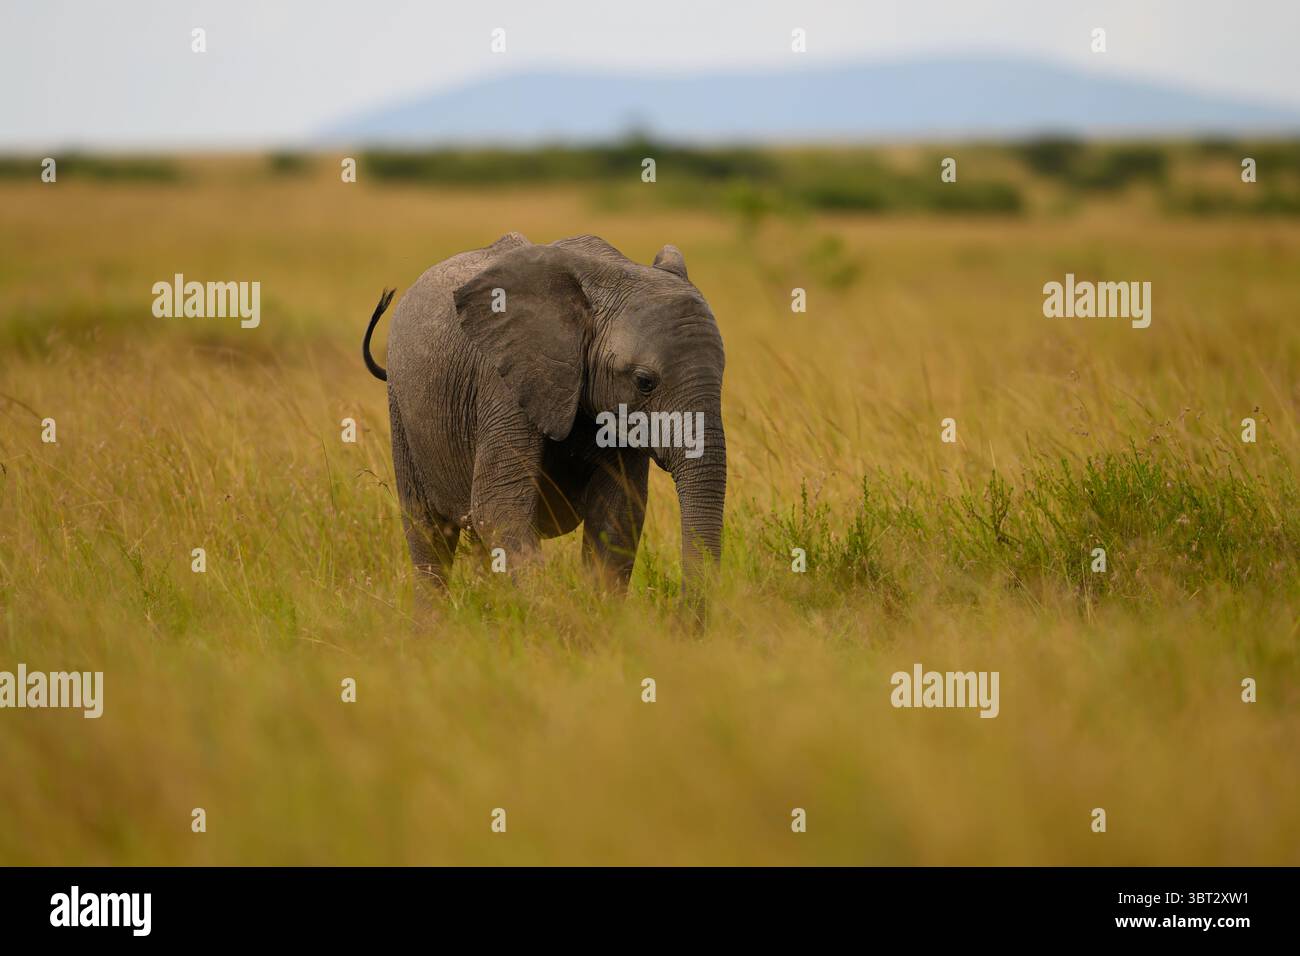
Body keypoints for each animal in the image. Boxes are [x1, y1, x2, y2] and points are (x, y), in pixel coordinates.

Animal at [362, 232, 727, 602]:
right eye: (644, 382)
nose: (681, 613)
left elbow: (619, 512)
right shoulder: (505, 381)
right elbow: (499, 505)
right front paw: (552, 611)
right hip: (401, 406)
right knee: (427, 531)